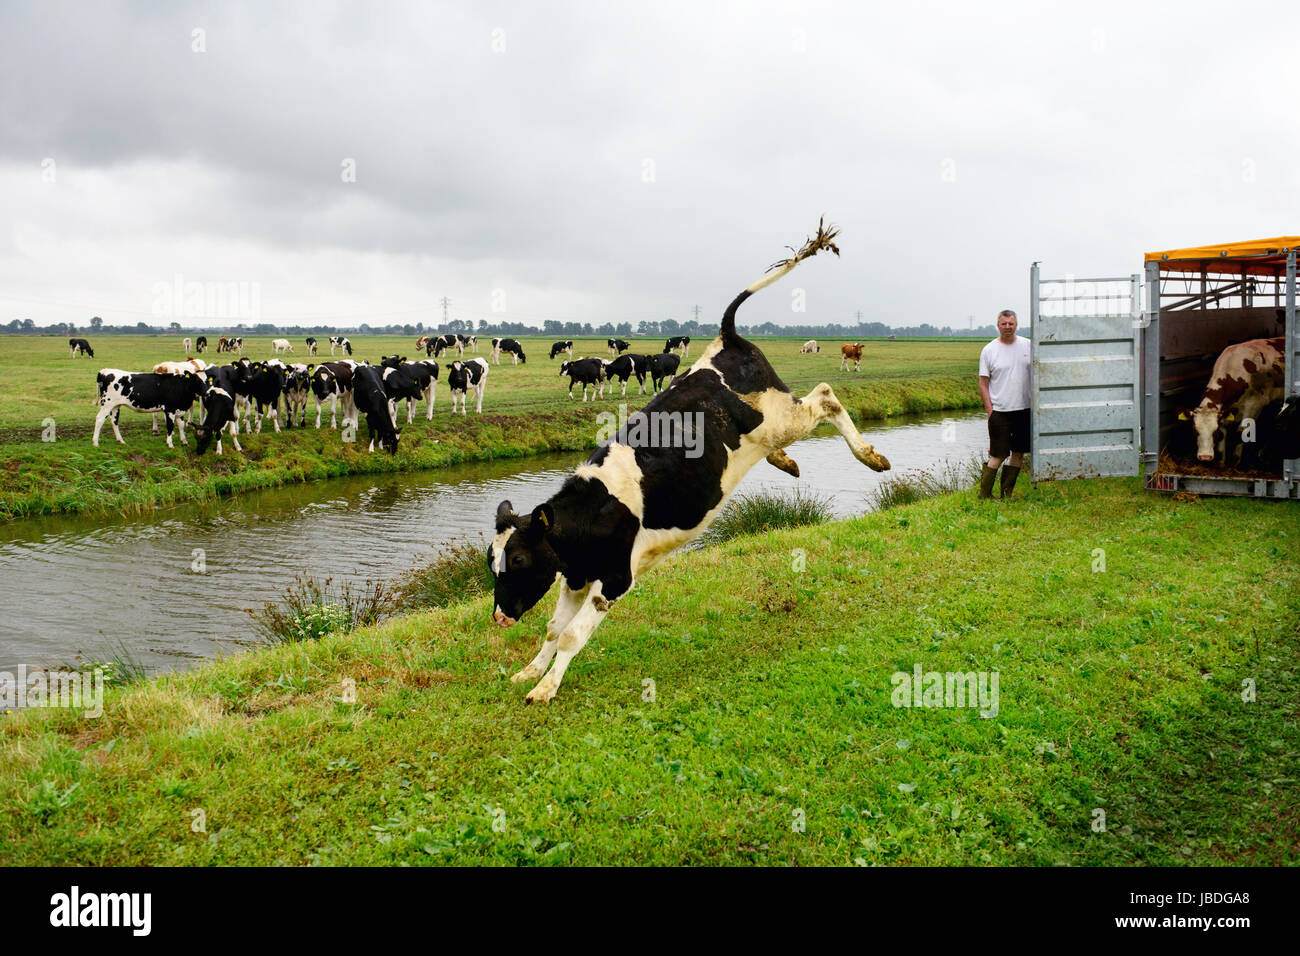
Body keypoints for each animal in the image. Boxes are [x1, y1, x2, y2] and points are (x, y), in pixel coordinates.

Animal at [487, 218, 890, 703]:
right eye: (490, 561)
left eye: (518, 560)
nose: (499, 616)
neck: (593, 509)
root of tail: (725, 338)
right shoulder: (575, 575)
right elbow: (551, 629)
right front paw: (529, 672)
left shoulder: (614, 577)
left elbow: (570, 635)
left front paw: (545, 689)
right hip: (768, 427)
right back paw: (787, 463)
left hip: (781, 418)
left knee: (827, 396)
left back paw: (871, 456)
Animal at [1180, 337, 1285, 465]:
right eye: (1195, 430)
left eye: (1214, 431)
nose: (1205, 457)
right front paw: (1221, 462)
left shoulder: (1255, 405)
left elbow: (1242, 431)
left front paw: (1235, 461)